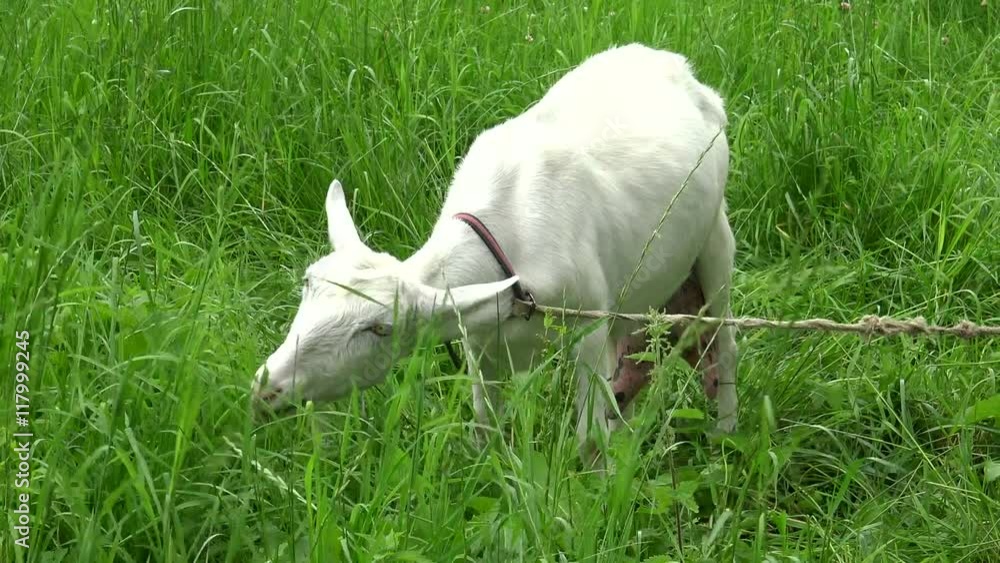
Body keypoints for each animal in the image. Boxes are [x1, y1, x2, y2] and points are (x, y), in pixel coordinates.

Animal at [252, 43, 737, 467]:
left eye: (380, 328)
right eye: (306, 284)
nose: (266, 389)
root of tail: (675, 64)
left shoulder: (588, 329)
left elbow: (588, 439)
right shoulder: (480, 344)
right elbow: (486, 426)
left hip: (715, 241)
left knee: (724, 344)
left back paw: (725, 435)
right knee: (631, 370)